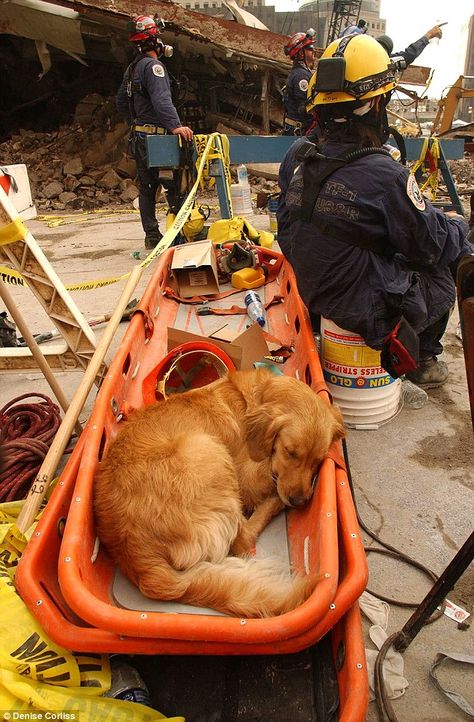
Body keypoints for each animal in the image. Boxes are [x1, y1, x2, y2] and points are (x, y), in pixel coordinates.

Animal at [93, 368, 344, 616]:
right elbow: (270, 480)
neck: (255, 398)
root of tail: (142, 566)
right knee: (244, 539)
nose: (299, 501)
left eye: (318, 461)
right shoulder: (248, 476)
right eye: (290, 452)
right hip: (210, 450)